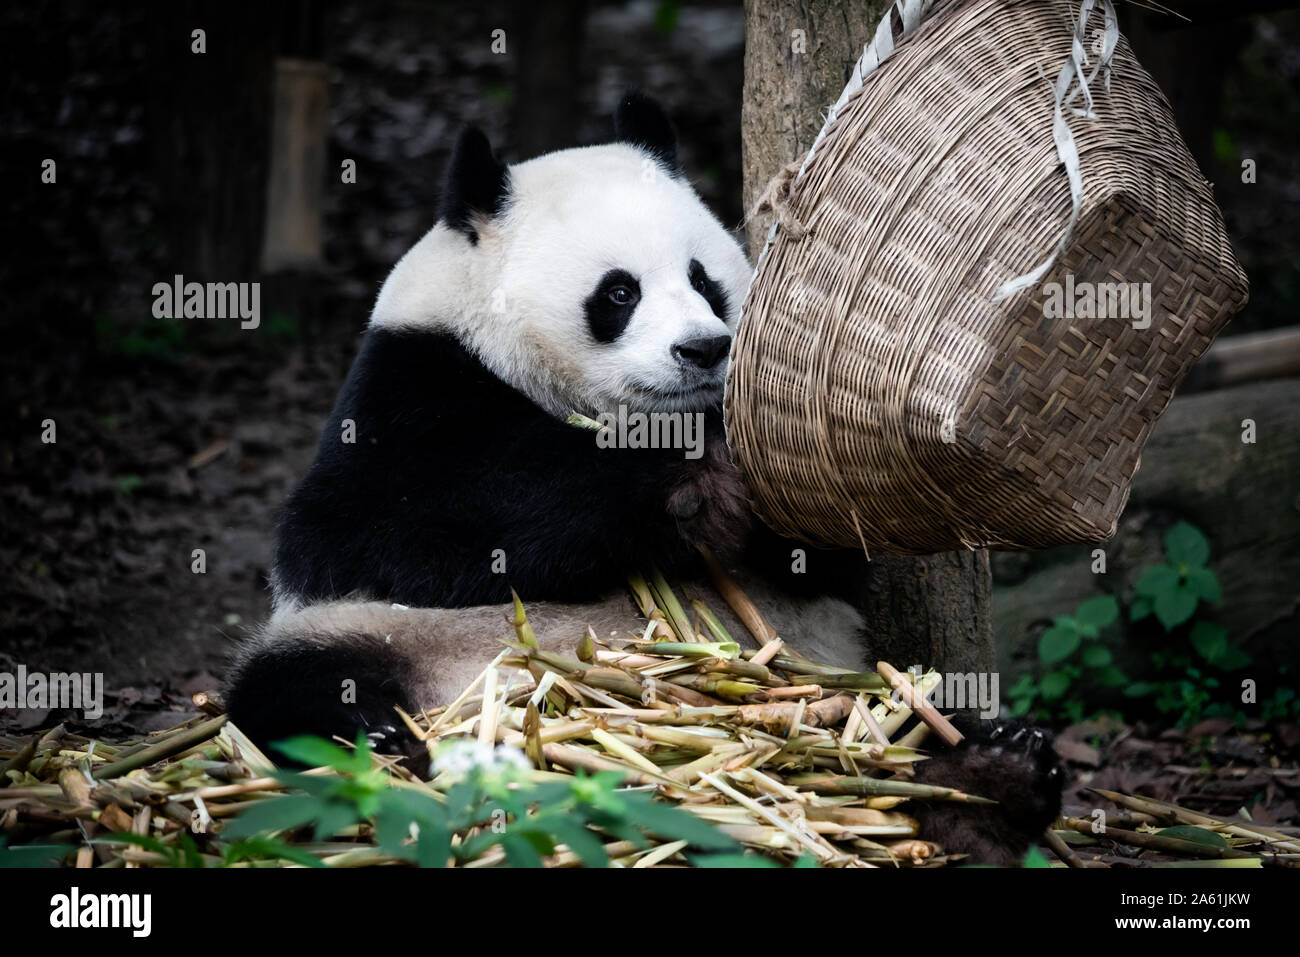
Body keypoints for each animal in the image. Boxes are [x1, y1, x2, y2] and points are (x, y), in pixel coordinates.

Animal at [226, 92, 1062, 866]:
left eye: (703, 278)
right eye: (619, 291)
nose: (704, 348)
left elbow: (829, 556)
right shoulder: (405, 385)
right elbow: (375, 528)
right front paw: (690, 488)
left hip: (834, 681)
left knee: (903, 725)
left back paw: (993, 776)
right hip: (376, 637)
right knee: (294, 693)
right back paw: (384, 744)